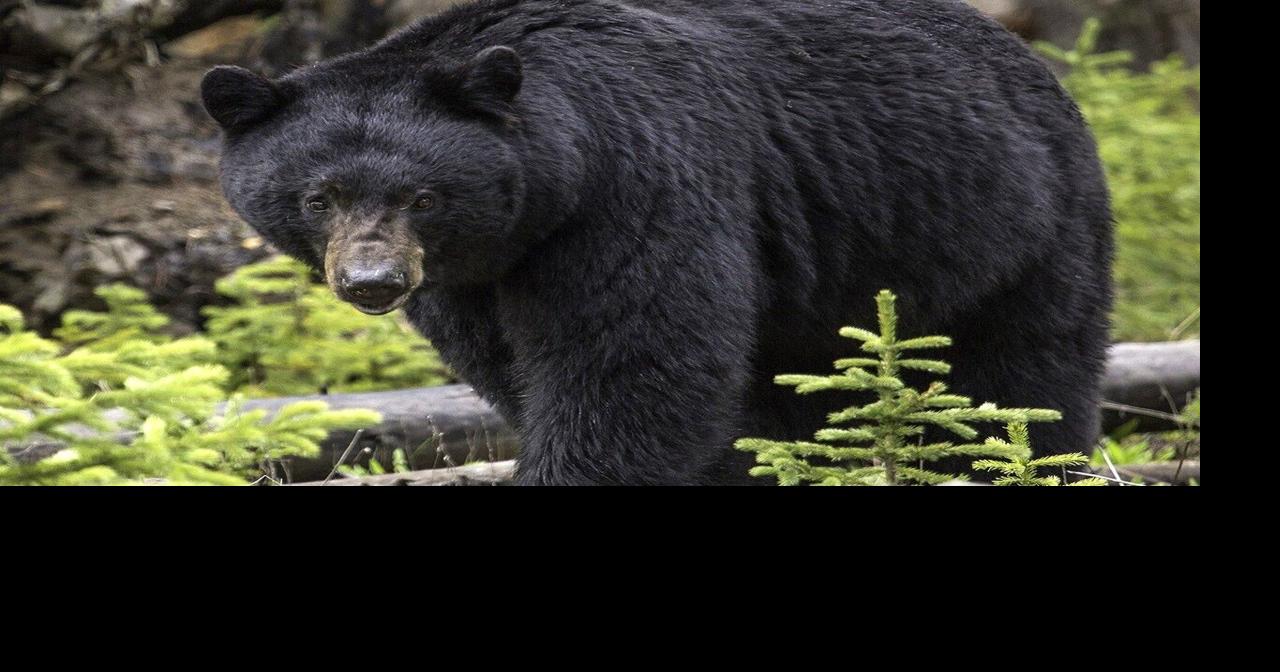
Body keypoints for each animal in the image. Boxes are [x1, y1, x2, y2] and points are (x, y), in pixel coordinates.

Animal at [201, 0, 1113, 485]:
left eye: (423, 196)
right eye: (319, 196)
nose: (374, 280)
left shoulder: (638, 184)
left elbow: (630, 366)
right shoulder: (474, 278)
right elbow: (516, 367)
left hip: (1013, 225)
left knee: (1023, 375)